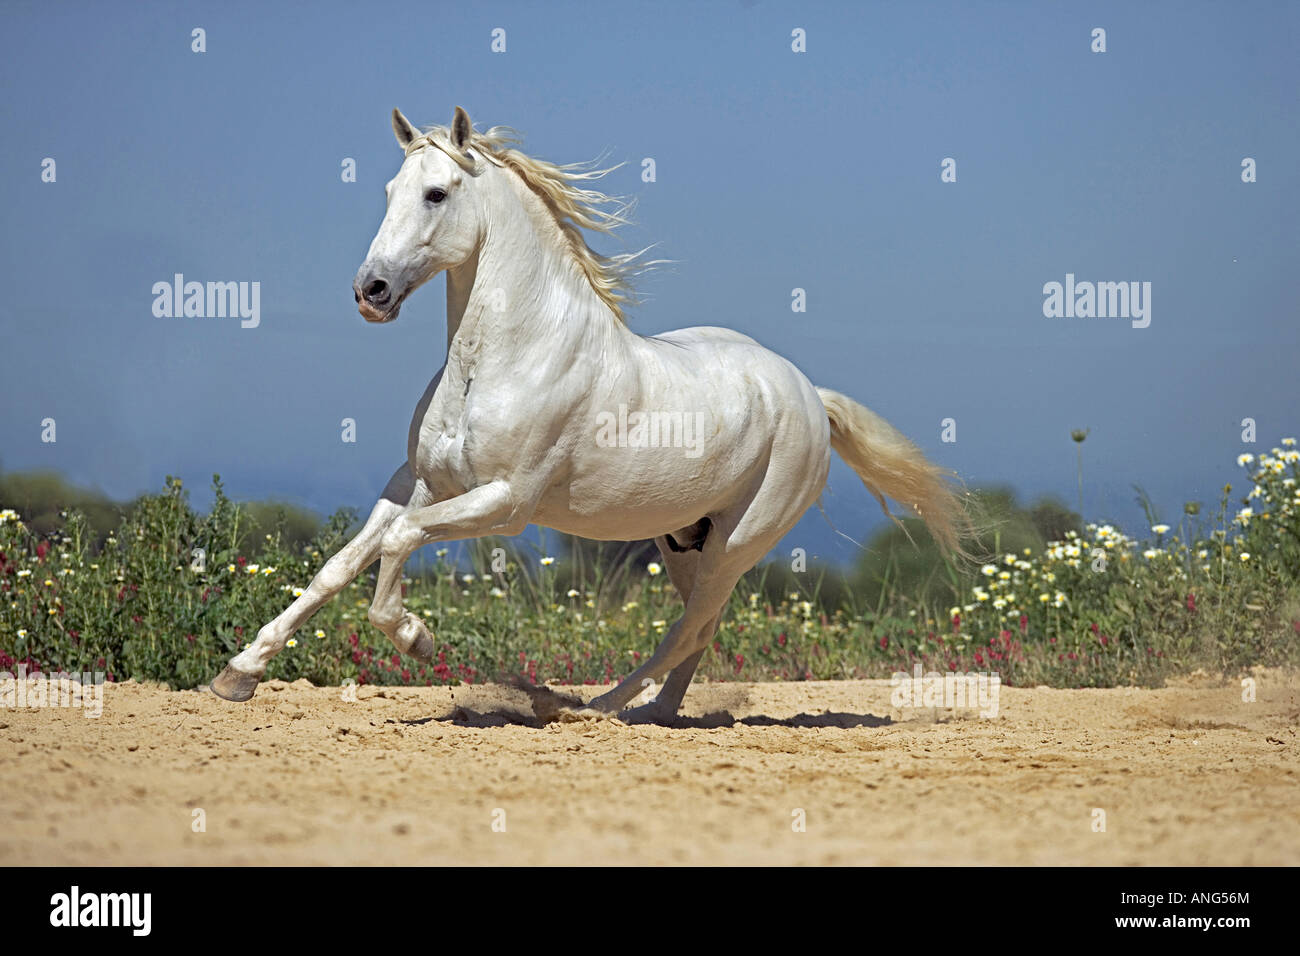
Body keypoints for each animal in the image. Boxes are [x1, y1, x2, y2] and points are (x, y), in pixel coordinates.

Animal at [210, 106, 969, 722]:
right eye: (390, 192)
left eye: (436, 193)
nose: (370, 290)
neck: (504, 360)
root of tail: (810, 394)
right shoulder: (419, 484)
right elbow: (338, 566)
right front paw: (237, 674)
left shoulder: (506, 503)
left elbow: (398, 546)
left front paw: (416, 636)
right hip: (685, 539)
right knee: (701, 629)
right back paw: (656, 713)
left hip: (739, 541)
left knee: (686, 629)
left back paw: (590, 707)